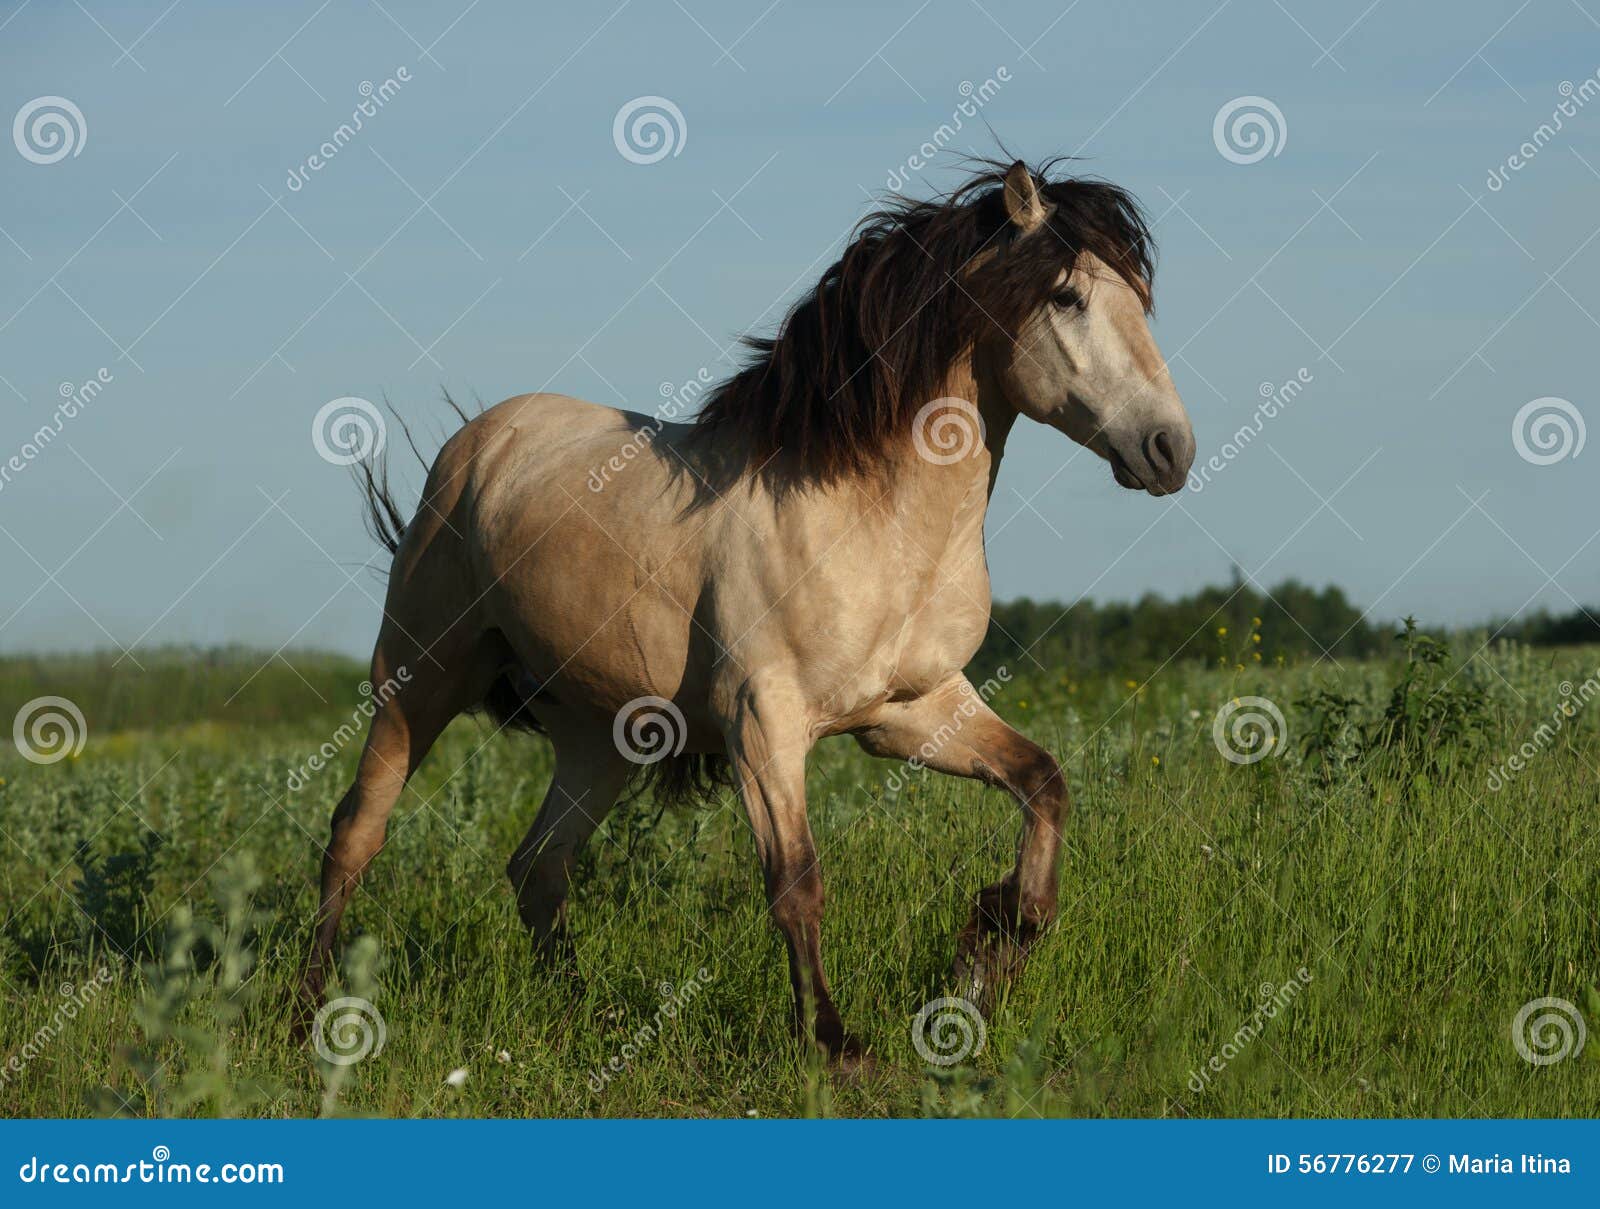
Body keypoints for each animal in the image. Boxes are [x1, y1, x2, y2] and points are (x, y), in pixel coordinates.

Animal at [299, 159, 1195, 1064]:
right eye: (1067, 297)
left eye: (1138, 296)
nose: (1170, 450)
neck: (874, 517)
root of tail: (480, 444)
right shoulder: (764, 720)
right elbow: (797, 880)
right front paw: (836, 1045)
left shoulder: (912, 710)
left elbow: (1044, 782)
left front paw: (989, 952)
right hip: (421, 680)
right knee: (356, 832)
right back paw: (306, 1014)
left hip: (598, 735)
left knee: (539, 866)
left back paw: (584, 1013)